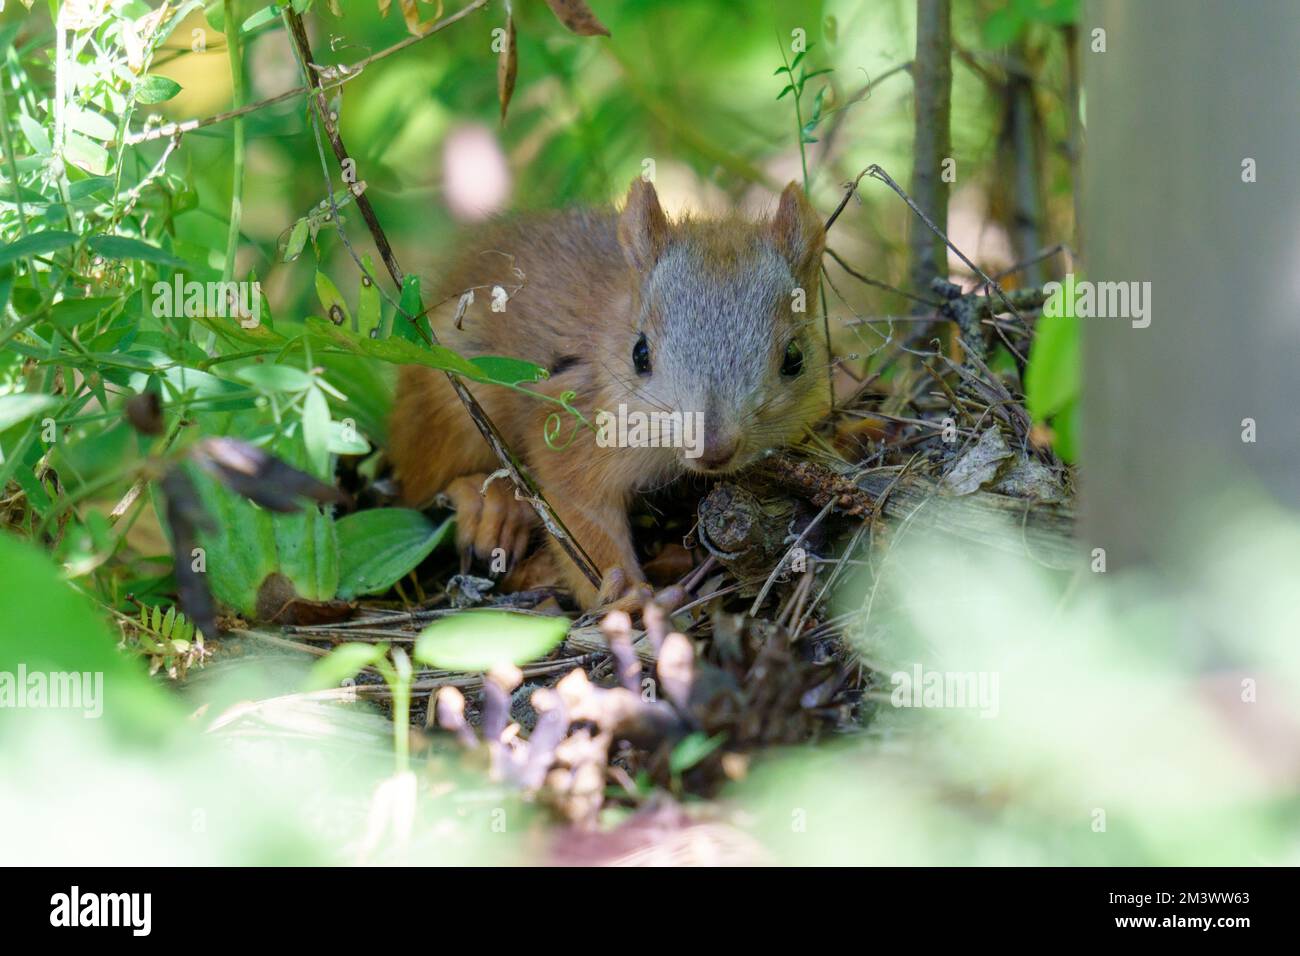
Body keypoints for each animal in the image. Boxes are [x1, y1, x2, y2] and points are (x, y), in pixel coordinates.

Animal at [390, 178, 830, 608]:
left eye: (794, 358)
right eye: (640, 354)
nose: (711, 449)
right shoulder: (578, 426)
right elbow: (582, 513)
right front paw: (629, 596)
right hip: (448, 402)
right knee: (419, 485)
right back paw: (488, 504)